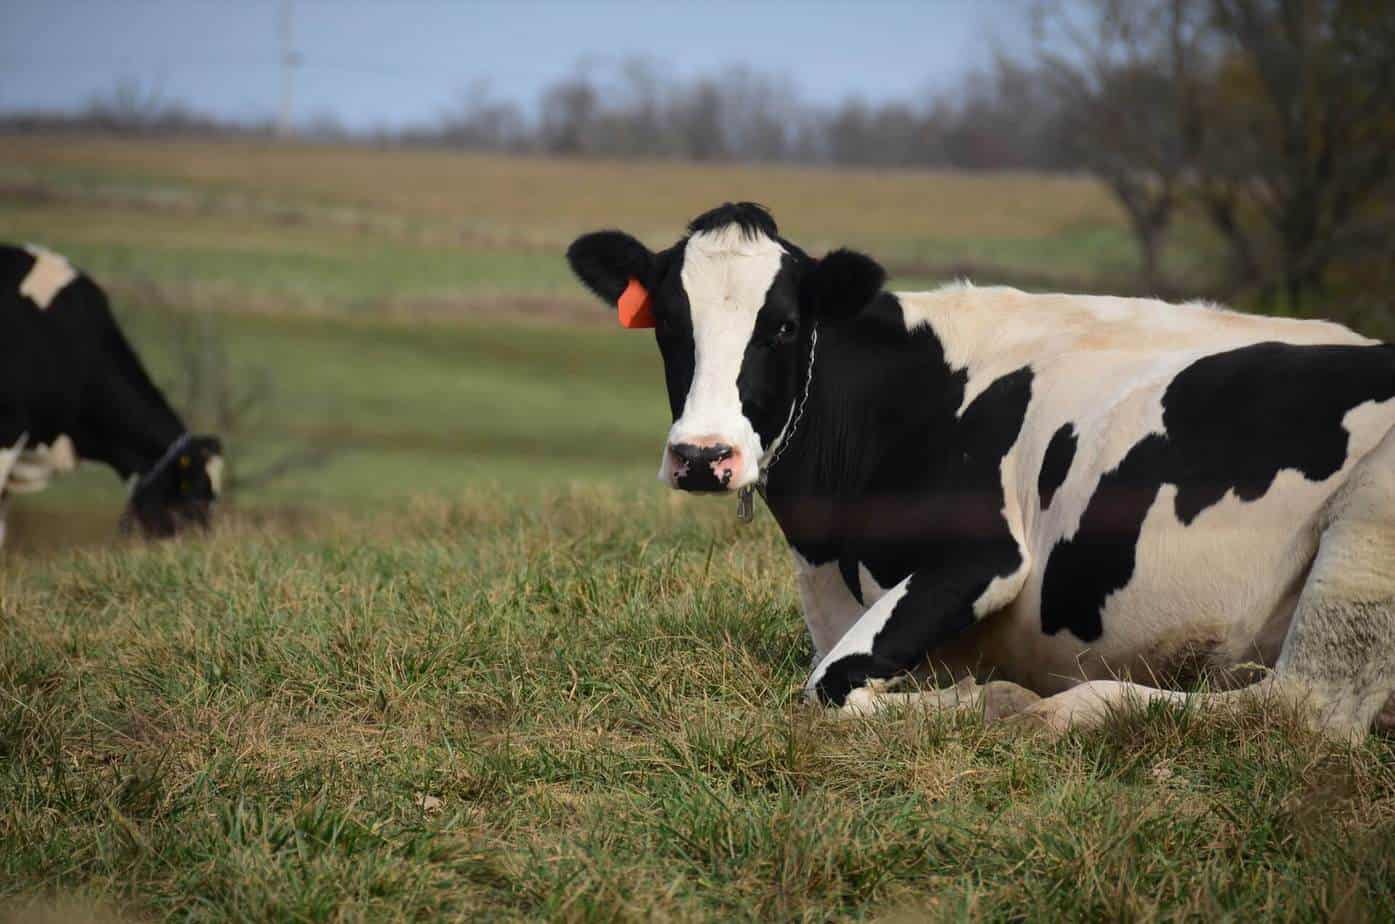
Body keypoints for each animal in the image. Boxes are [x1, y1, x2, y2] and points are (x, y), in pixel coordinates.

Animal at [566, 202, 1395, 739]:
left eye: (783, 326)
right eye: (669, 325)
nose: (703, 456)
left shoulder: (986, 553)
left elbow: (828, 685)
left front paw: (989, 700)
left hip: (1365, 534)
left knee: (1302, 710)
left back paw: (1066, 708)